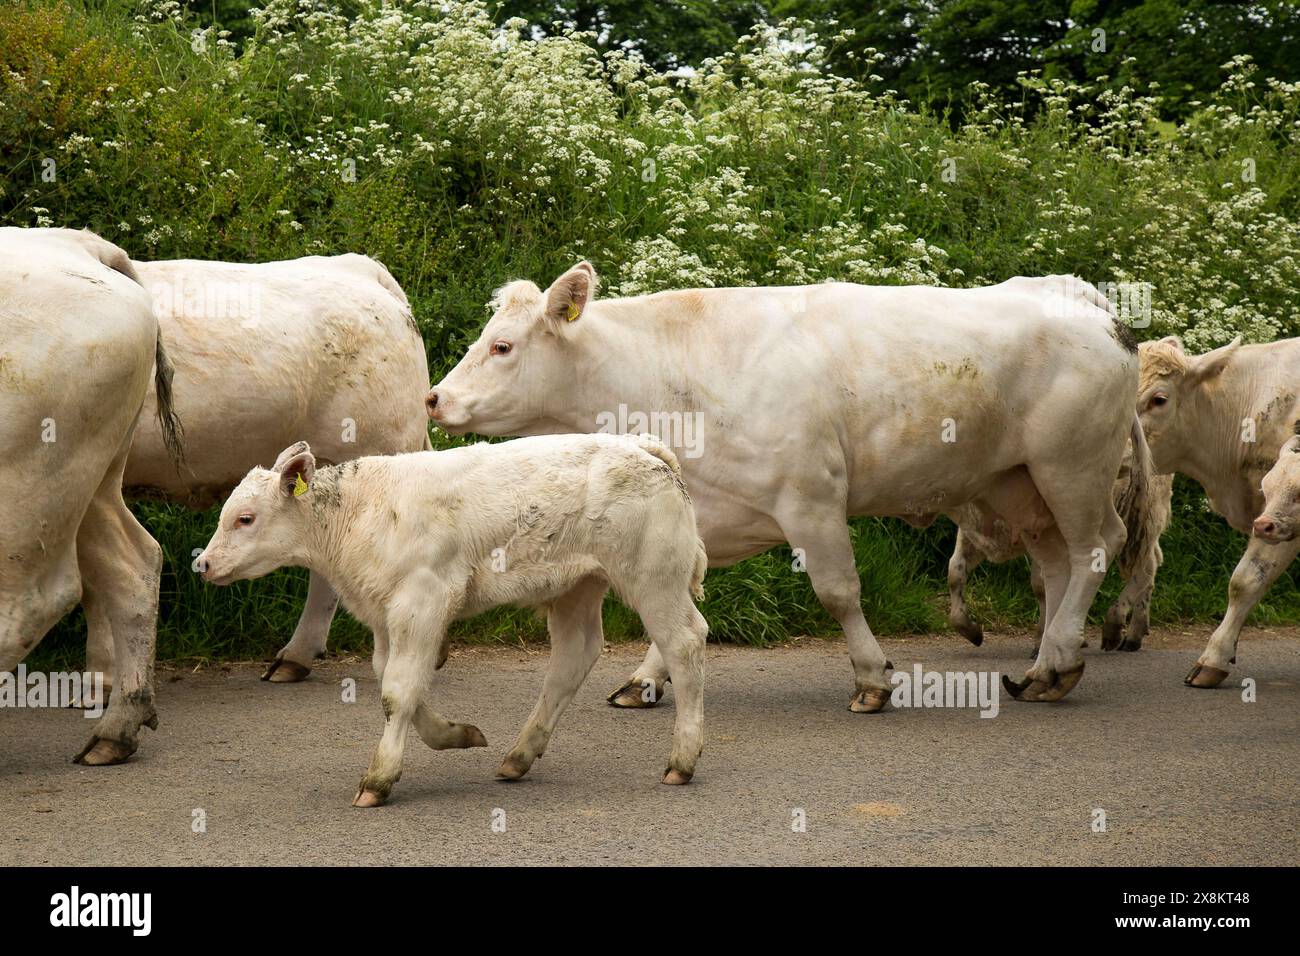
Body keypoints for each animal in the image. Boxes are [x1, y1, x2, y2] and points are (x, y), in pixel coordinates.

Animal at [0, 227, 181, 764]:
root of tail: (80, 245)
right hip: (88, 479)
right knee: (134, 565)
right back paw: (115, 732)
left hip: (30, 480)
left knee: (34, 601)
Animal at [196, 434, 708, 807]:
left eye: (245, 518)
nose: (202, 564)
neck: (361, 511)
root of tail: (642, 446)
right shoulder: (387, 615)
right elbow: (397, 682)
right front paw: (458, 735)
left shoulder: (423, 600)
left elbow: (397, 691)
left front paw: (378, 779)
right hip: (576, 586)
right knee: (573, 657)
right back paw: (518, 756)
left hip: (654, 579)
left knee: (684, 644)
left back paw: (681, 760)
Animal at [947, 458, 1174, 654]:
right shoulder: (973, 532)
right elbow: (955, 571)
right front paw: (969, 630)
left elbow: (1041, 587)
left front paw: (1041, 640)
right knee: (1151, 563)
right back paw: (1137, 630)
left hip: (1143, 513)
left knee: (1144, 571)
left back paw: (1119, 627)